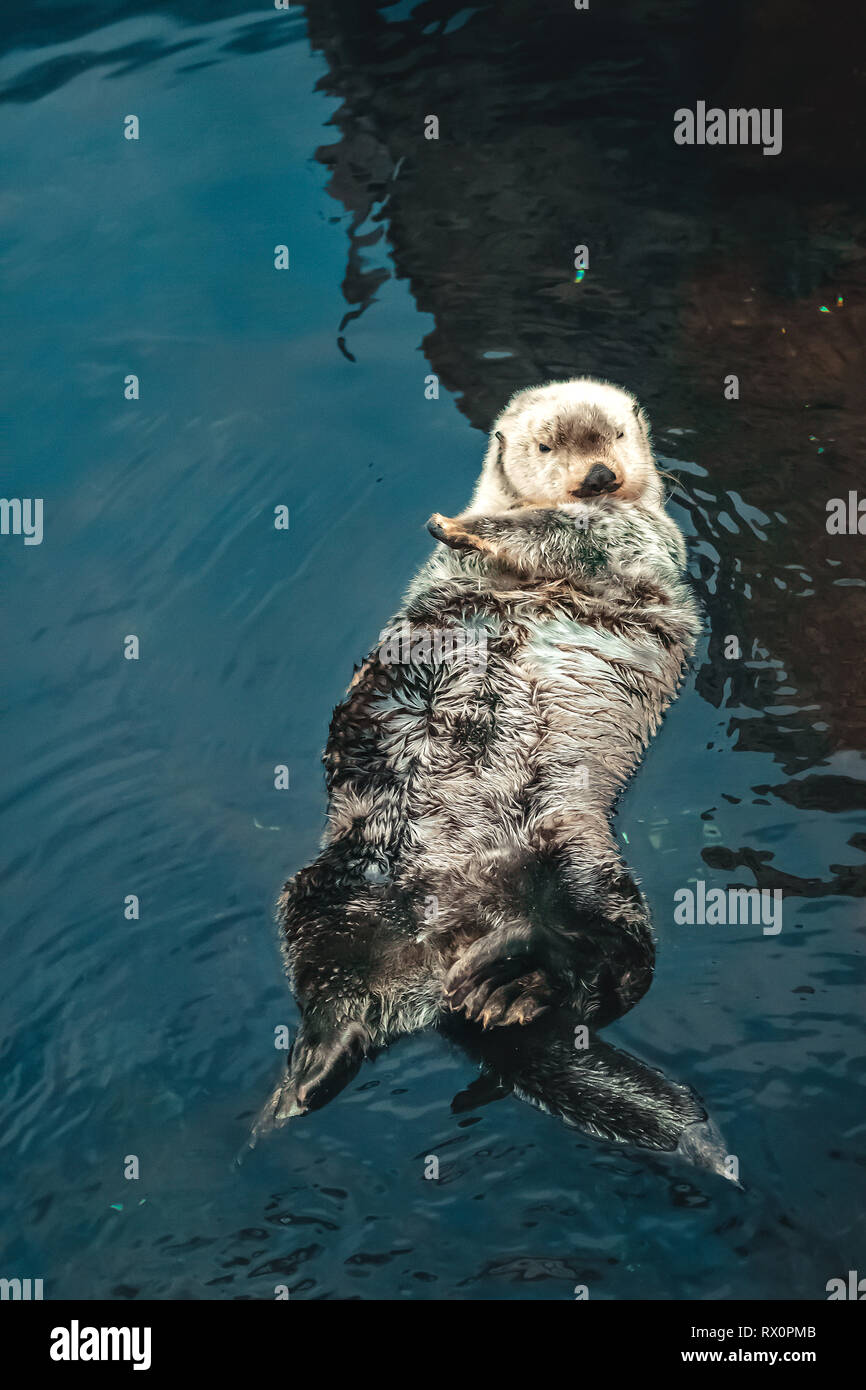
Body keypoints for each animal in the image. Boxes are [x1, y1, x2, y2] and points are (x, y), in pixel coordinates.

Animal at [254, 378, 727, 1174]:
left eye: (614, 438)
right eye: (548, 445)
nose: (598, 477)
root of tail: (451, 944)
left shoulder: (641, 535)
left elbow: (572, 533)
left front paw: (464, 527)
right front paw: (463, 526)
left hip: (580, 855)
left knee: (609, 972)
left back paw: (509, 979)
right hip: (336, 881)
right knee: (339, 993)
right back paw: (315, 1072)